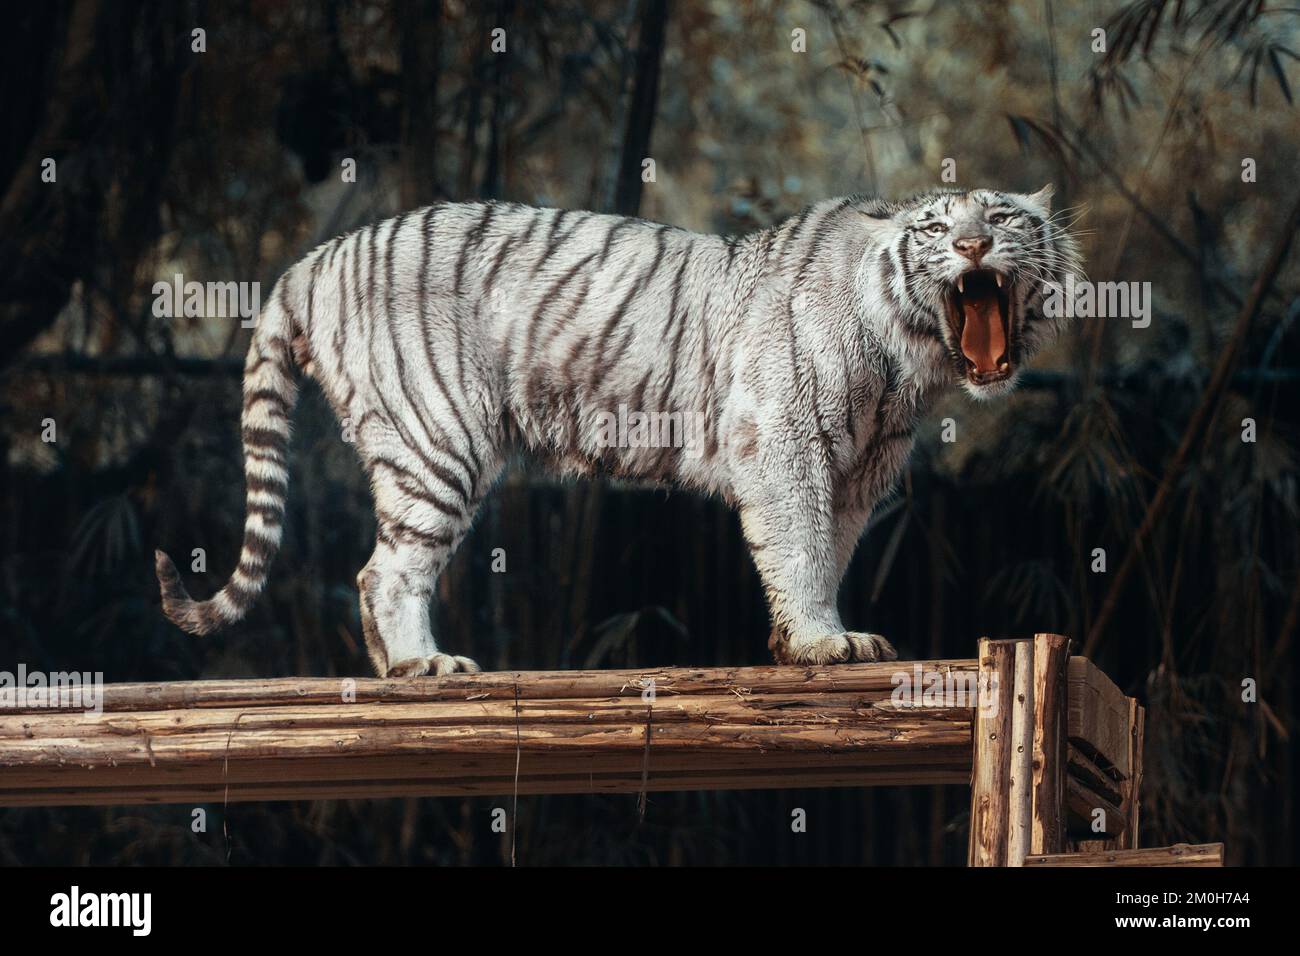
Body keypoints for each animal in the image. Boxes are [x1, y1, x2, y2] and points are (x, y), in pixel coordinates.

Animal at [155, 185, 1081, 676]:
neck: (907, 362)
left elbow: (827, 549)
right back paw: (424, 666)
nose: (973, 244)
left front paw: (804, 639)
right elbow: (800, 546)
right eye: (936, 227)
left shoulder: (857, 474)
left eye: (1004, 217)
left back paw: (392, 670)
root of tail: (315, 258)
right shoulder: (785, 444)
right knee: (388, 569)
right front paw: (824, 640)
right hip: (437, 439)